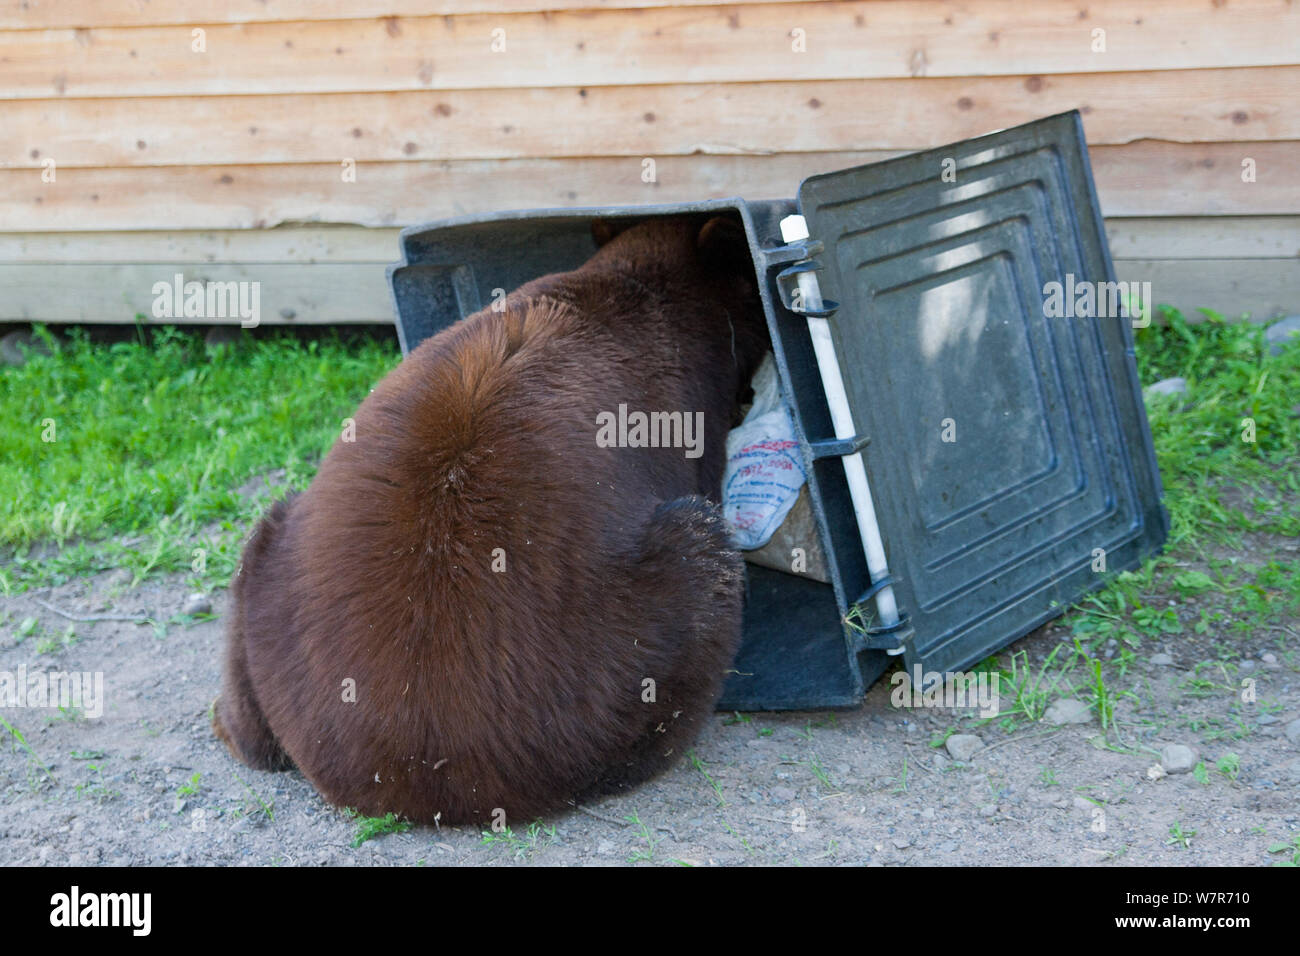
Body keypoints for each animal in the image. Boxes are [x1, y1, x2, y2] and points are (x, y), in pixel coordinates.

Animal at [213, 214, 770, 825]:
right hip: (627, 657)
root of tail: (408, 773)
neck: (640, 277)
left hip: (268, 577)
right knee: (703, 555)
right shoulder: (698, 393)